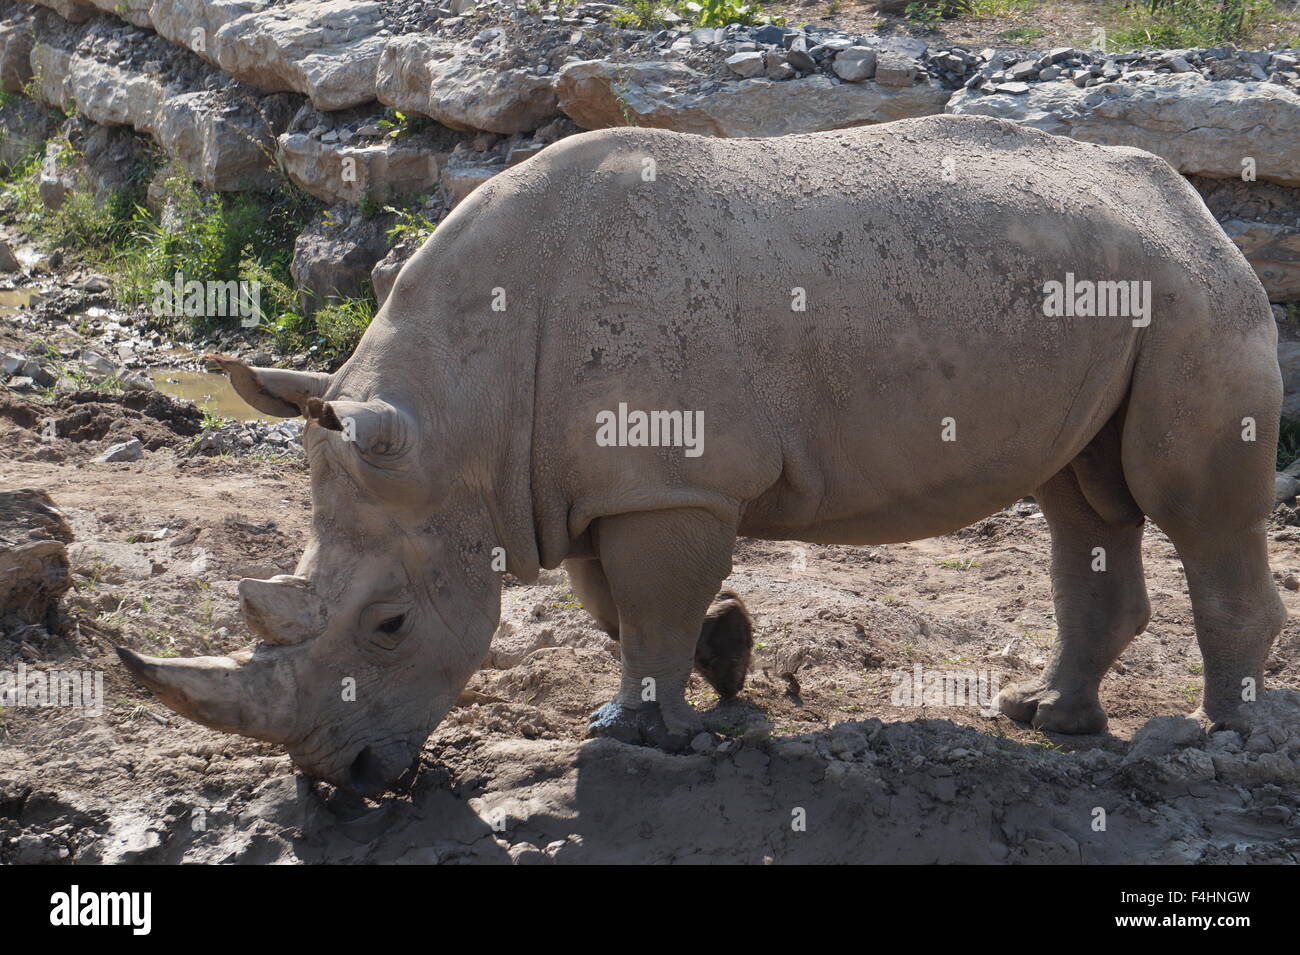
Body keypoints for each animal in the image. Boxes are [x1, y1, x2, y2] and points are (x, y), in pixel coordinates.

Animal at [118, 114, 1286, 795]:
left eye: (390, 625)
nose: (340, 778)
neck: (462, 416)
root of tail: (1187, 194)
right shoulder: (602, 481)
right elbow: (615, 599)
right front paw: (723, 660)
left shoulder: (668, 481)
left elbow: (648, 600)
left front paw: (639, 732)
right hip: (1115, 290)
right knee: (1079, 498)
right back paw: (1048, 717)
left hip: (1194, 291)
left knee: (1186, 501)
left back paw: (1219, 735)